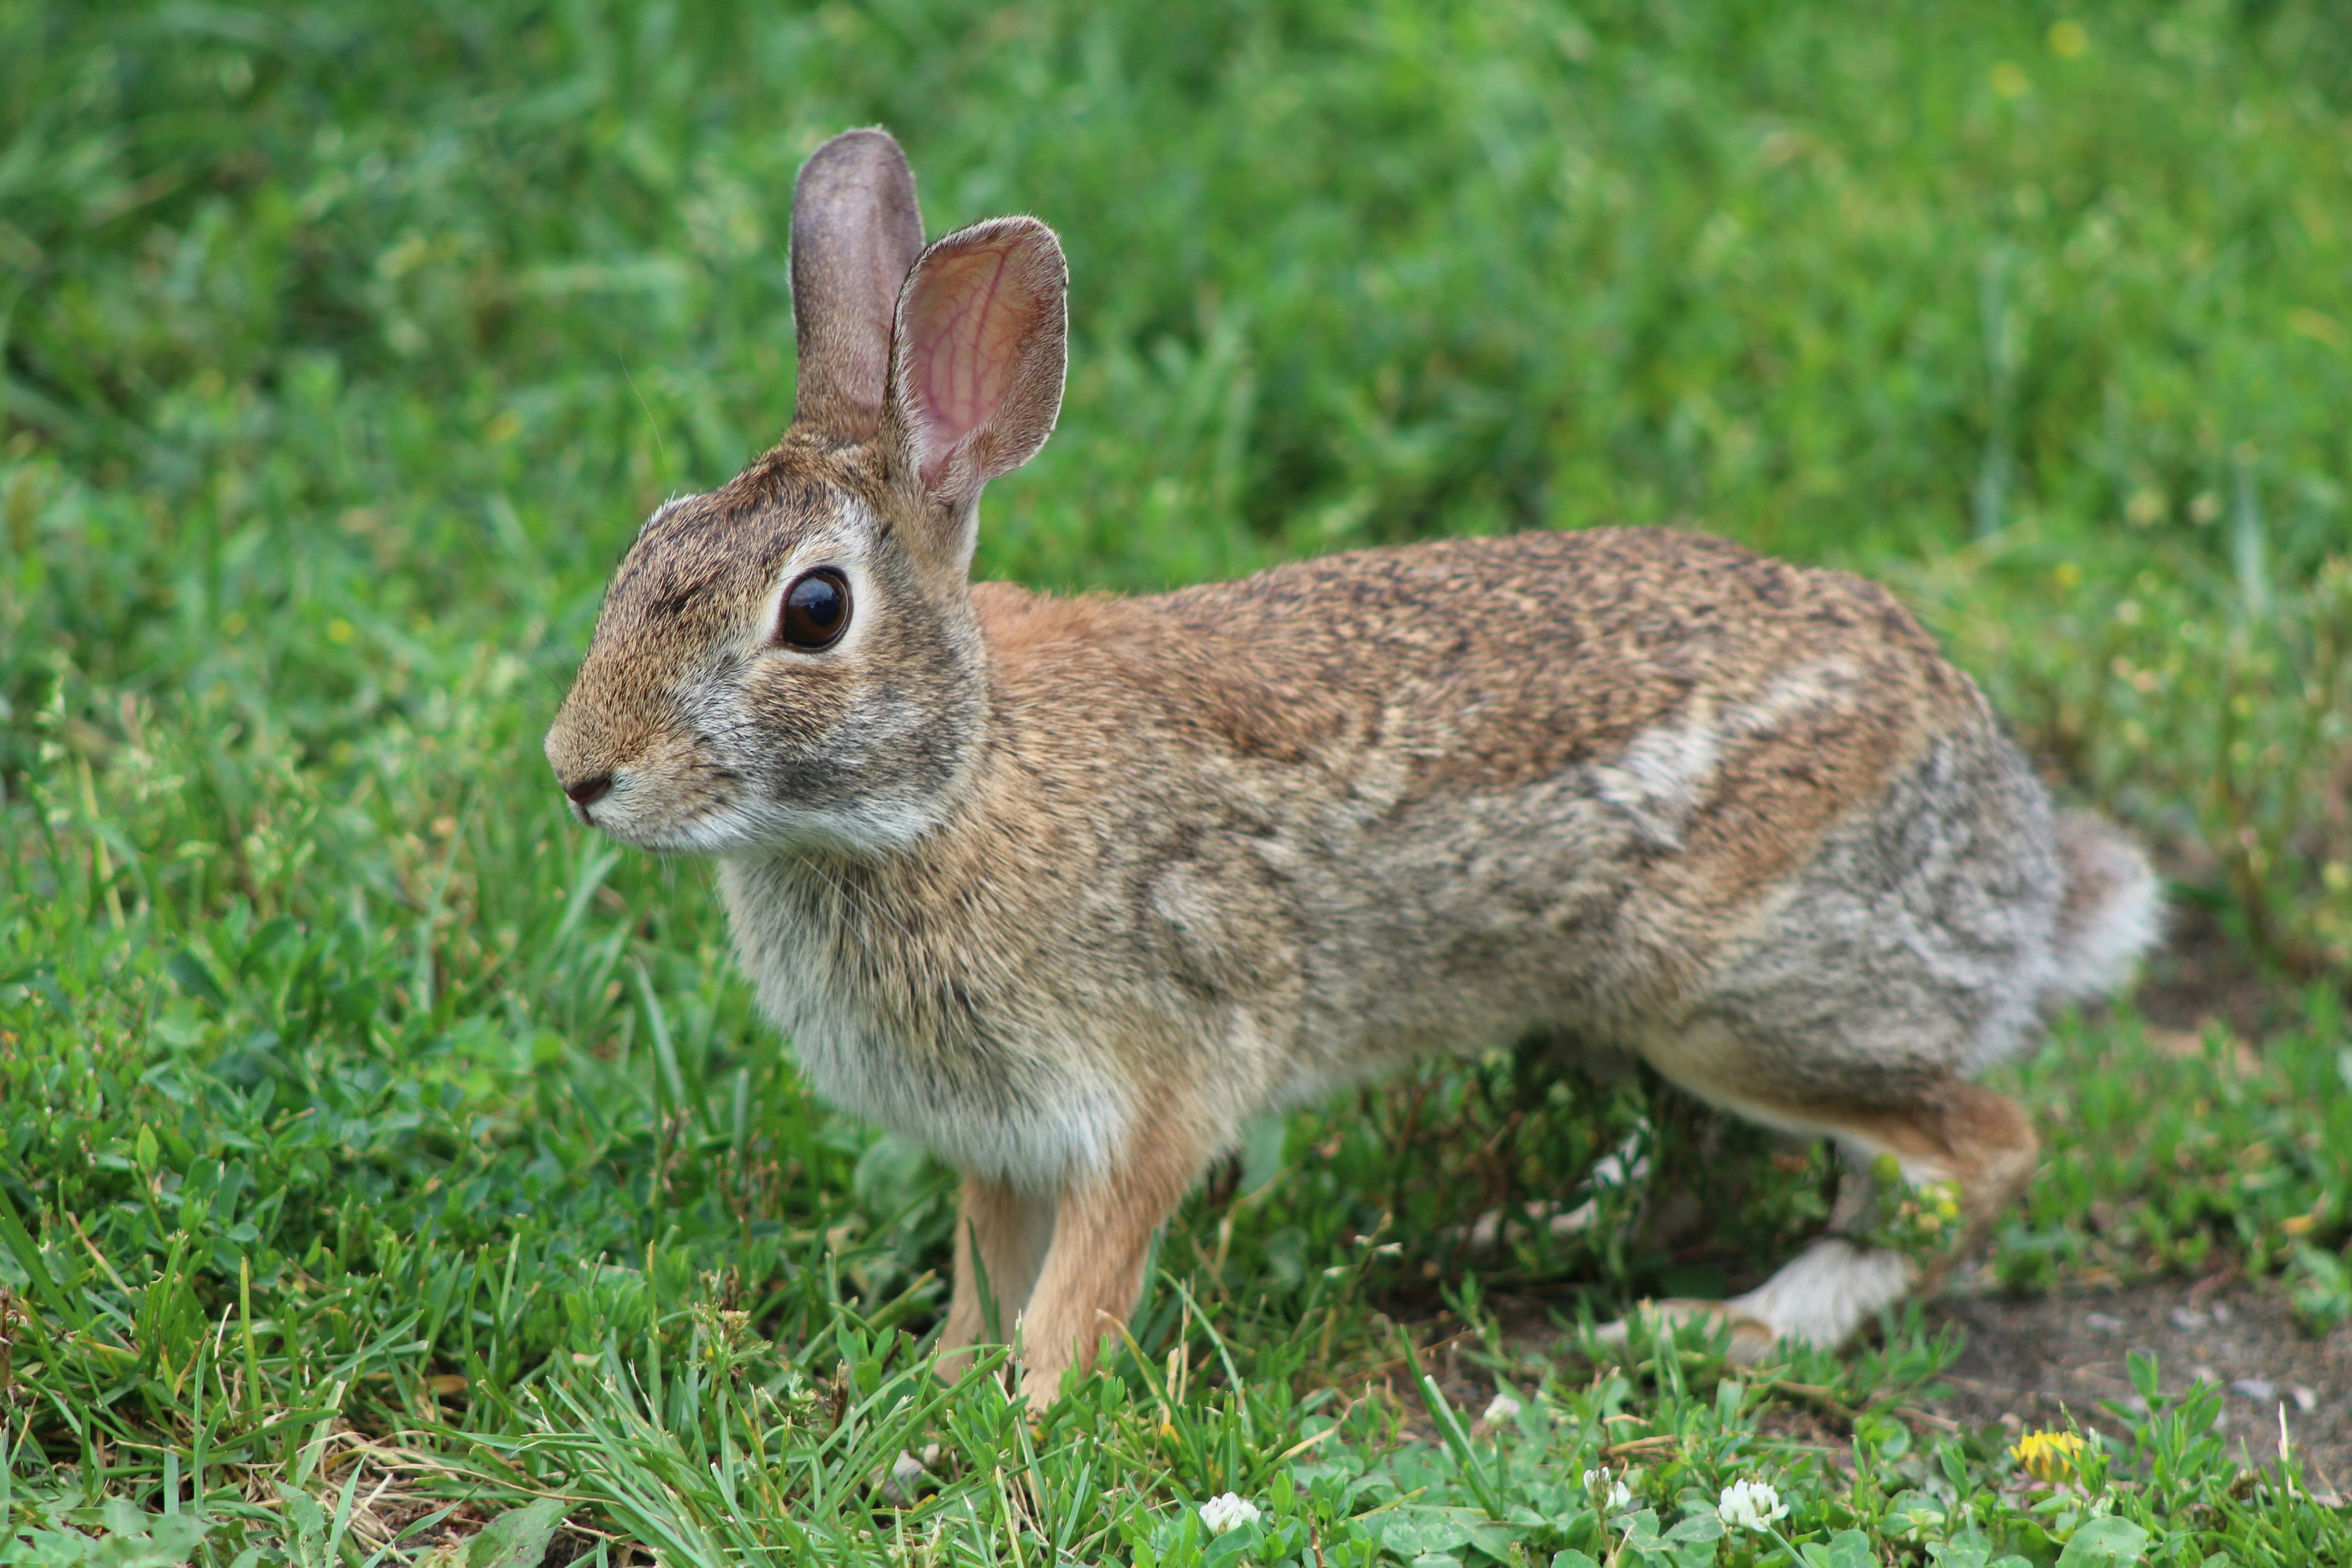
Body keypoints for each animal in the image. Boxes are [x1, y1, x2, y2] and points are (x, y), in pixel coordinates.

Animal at [543, 127, 2161, 1407]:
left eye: (814, 611)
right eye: (656, 533)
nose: (579, 772)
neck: (954, 782)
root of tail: (2016, 852)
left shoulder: (1154, 1086)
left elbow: (1085, 1280)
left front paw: (1026, 1412)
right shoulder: (995, 1141)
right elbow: (980, 1264)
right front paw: (938, 1391)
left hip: (1733, 995)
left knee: (1981, 1151)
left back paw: (1729, 1330)